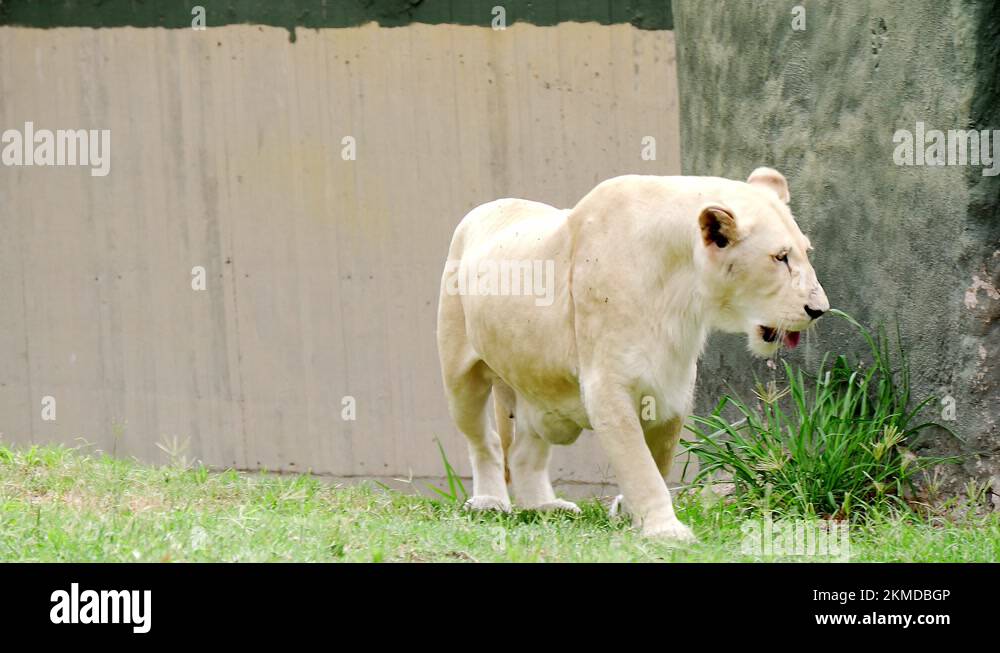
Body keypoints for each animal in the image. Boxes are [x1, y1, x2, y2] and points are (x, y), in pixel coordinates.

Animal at [436, 168, 829, 541]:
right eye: (780, 258)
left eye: (806, 253)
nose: (819, 309)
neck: (682, 291)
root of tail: (487, 207)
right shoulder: (606, 384)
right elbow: (639, 464)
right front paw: (665, 530)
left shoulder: (673, 382)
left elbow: (661, 457)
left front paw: (628, 511)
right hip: (460, 375)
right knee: (484, 441)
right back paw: (490, 502)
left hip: (536, 387)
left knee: (522, 453)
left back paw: (546, 507)